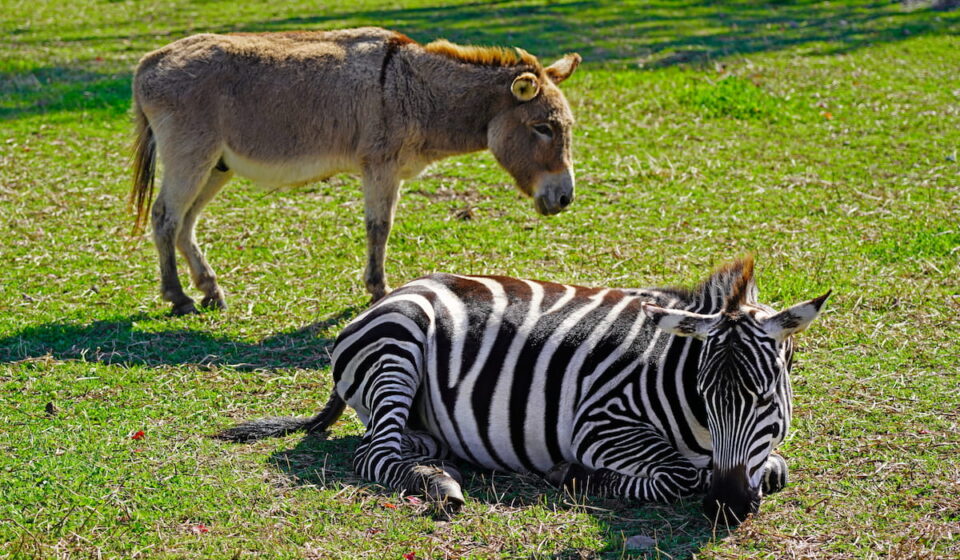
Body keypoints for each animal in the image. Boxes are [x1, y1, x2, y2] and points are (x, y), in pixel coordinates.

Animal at [218, 257, 829, 522]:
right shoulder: (600, 421)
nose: (727, 506)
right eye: (705, 394)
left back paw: (441, 459)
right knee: (373, 454)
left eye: (766, 399)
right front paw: (582, 477)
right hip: (398, 345)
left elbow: (774, 467)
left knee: (392, 442)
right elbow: (676, 475)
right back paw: (438, 483)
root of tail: (389, 296)